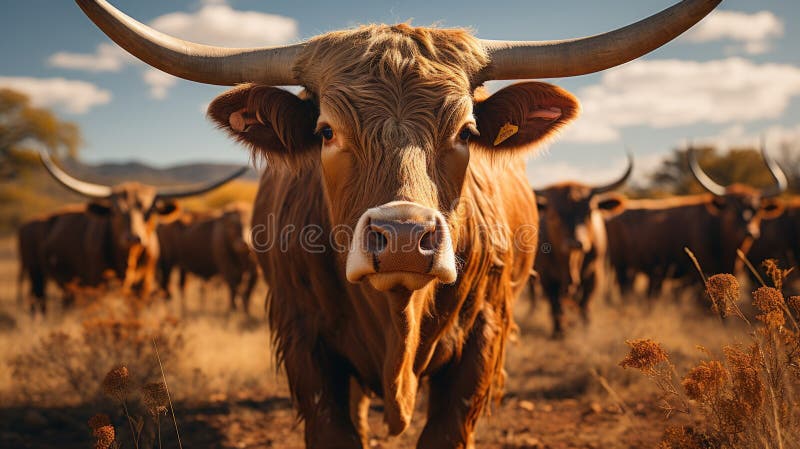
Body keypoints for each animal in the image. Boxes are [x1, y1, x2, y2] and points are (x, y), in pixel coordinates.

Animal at [35, 149, 247, 306]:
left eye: (150, 210)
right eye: (116, 211)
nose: (134, 238)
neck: (129, 259)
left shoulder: (145, 284)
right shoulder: (97, 281)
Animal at [532, 156, 631, 337]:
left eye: (589, 212)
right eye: (553, 214)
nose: (575, 242)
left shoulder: (594, 274)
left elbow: (585, 303)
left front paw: (586, 329)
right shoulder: (546, 277)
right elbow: (555, 304)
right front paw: (559, 331)